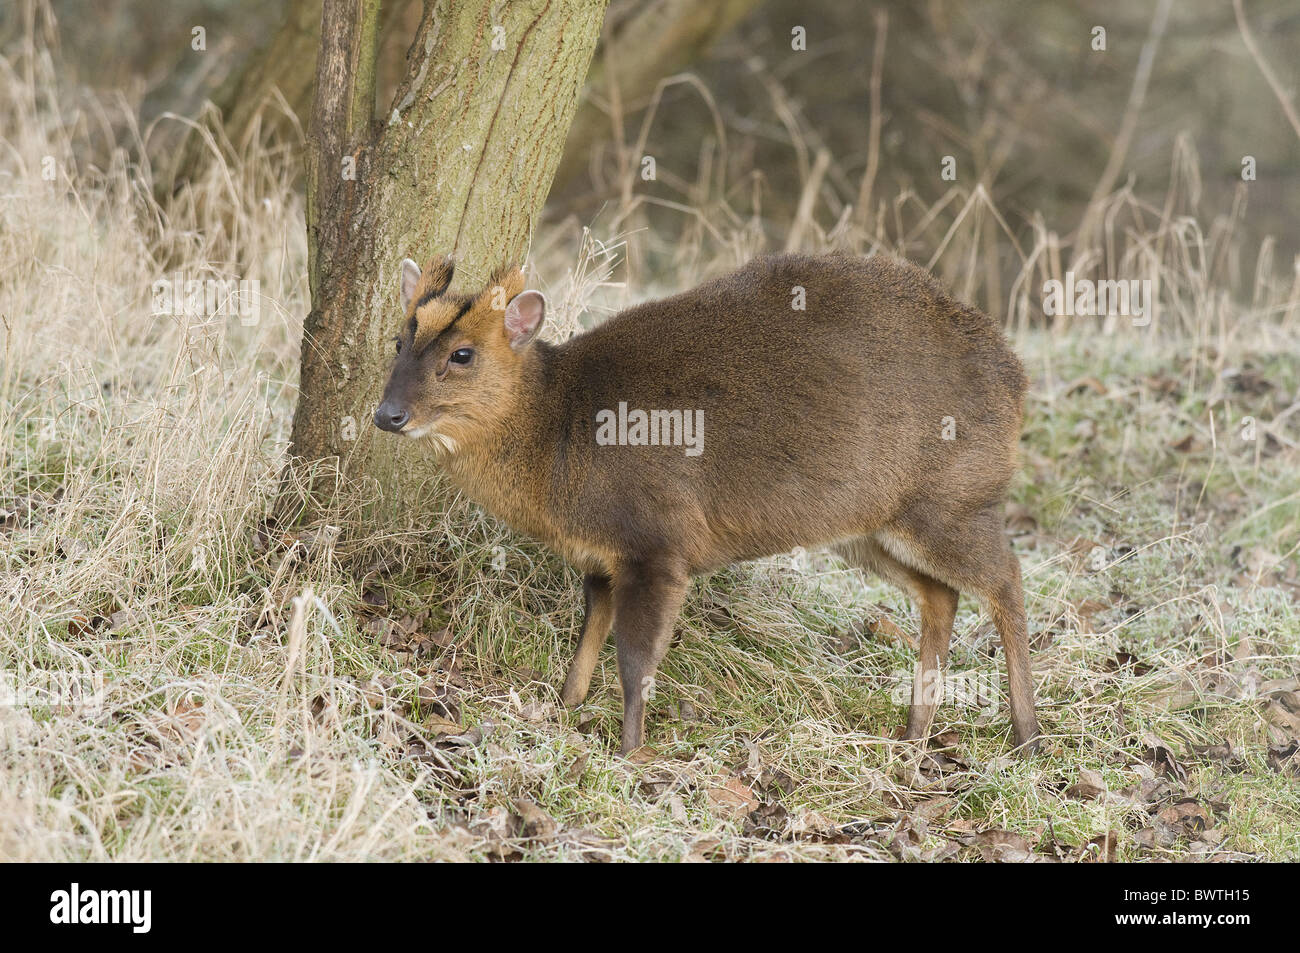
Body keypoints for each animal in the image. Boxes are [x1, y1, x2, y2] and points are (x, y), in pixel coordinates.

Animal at [374, 252, 1040, 756]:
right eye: (400, 339)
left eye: (462, 354)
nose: (387, 415)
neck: (558, 430)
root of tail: (1015, 376)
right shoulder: (600, 558)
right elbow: (589, 636)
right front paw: (564, 709)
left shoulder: (659, 541)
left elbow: (636, 659)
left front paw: (629, 752)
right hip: (871, 529)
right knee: (942, 596)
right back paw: (914, 734)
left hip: (952, 498)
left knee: (1007, 579)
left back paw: (1027, 734)